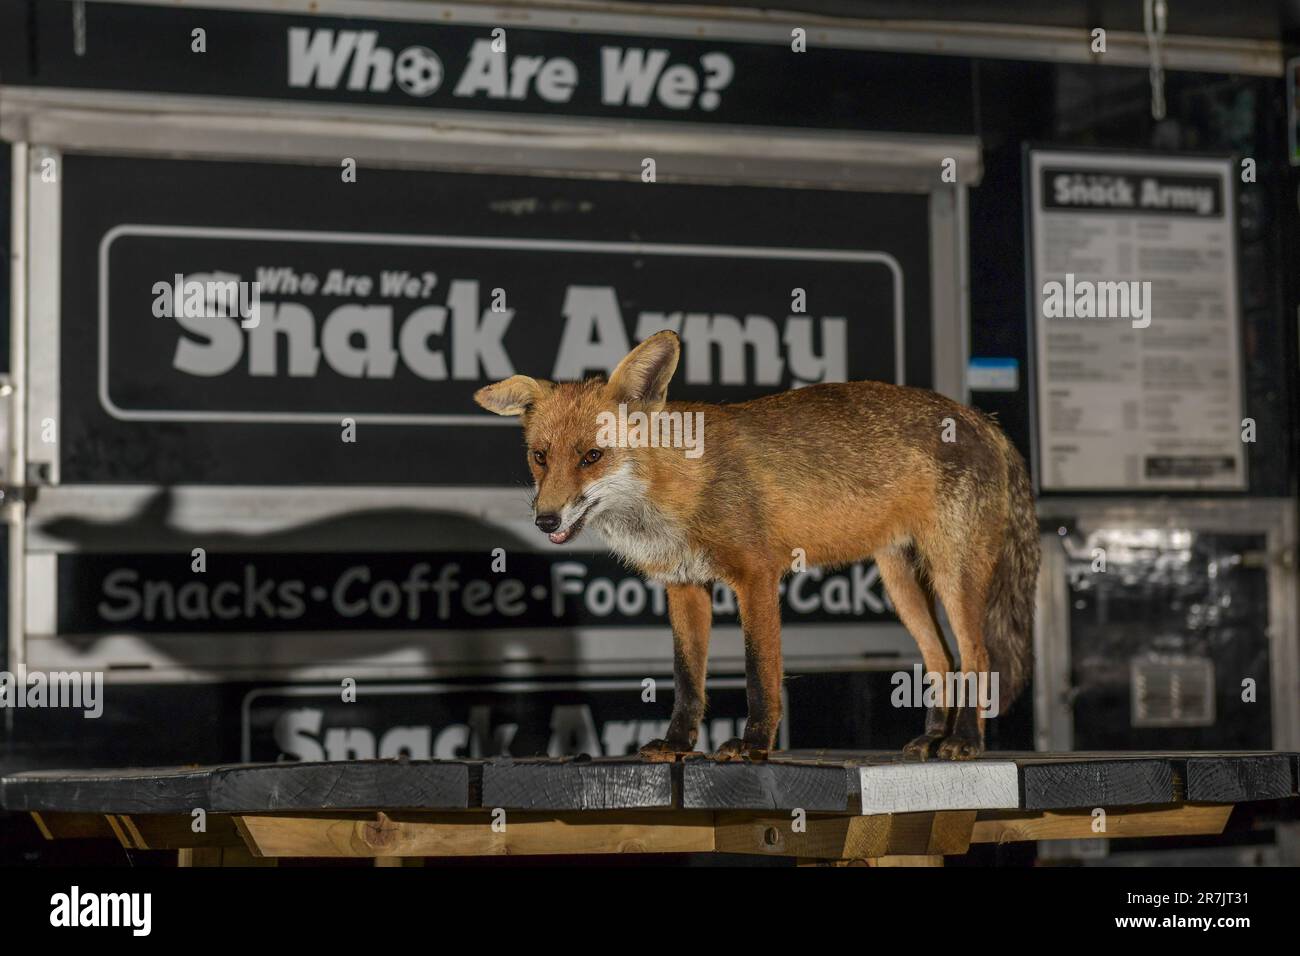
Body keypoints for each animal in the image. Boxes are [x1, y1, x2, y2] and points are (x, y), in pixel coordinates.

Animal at [474, 330, 1040, 760]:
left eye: (592, 456)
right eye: (540, 457)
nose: (545, 519)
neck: (676, 488)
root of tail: (983, 420)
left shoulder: (756, 576)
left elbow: (757, 673)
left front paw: (753, 745)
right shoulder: (684, 586)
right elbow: (687, 680)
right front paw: (678, 745)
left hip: (953, 575)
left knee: (975, 655)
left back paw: (965, 741)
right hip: (901, 583)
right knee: (942, 658)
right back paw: (934, 737)